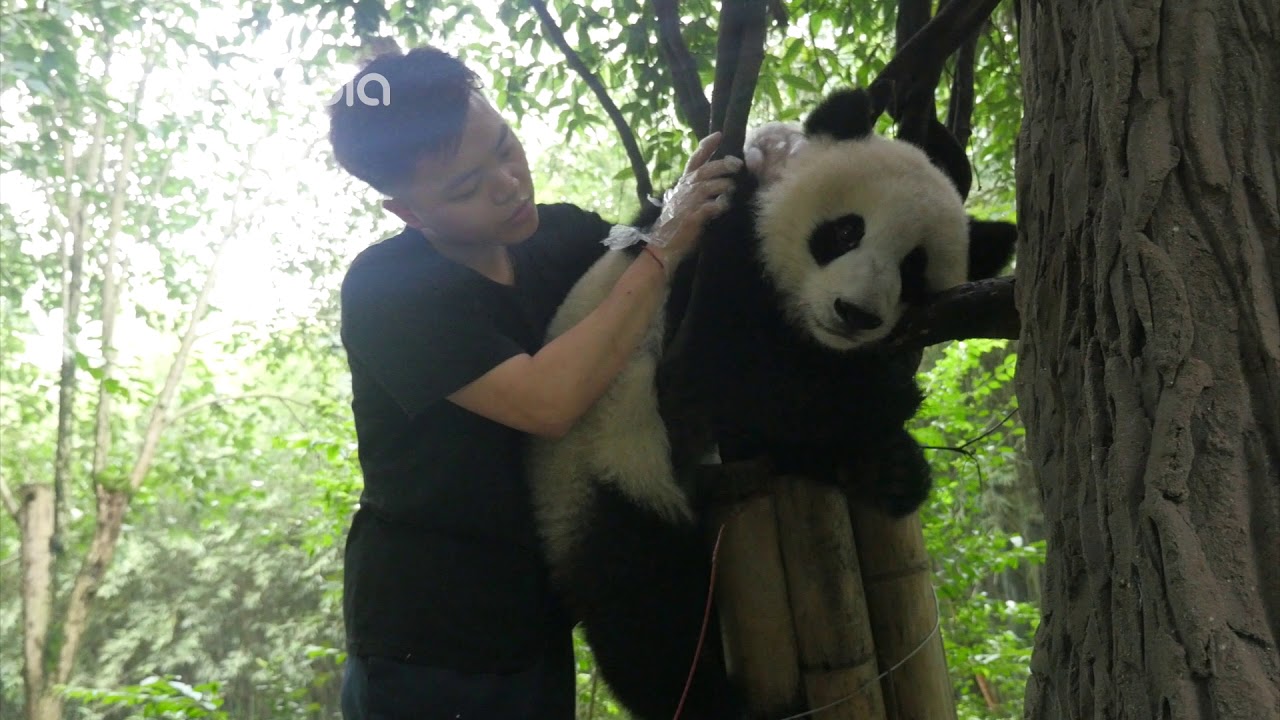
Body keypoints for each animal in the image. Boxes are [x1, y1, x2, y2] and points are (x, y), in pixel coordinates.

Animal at [526, 86, 1017, 720]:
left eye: (914, 270)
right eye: (845, 232)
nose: (855, 314)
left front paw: (888, 453)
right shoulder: (706, 272)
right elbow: (729, 375)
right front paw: (885, 397)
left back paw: (887, 473)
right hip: (602, 468)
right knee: (647, 608)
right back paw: (715, 700)